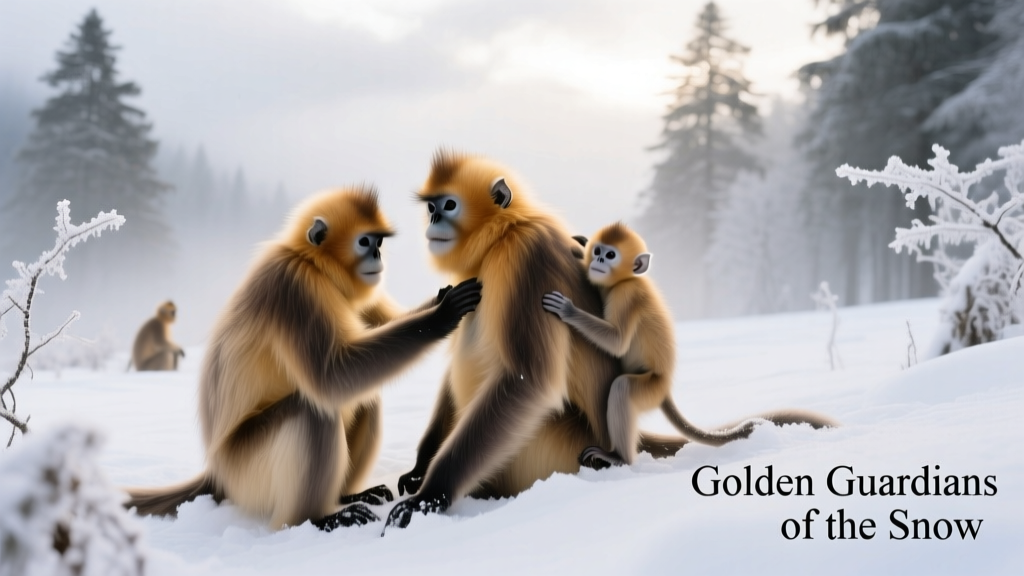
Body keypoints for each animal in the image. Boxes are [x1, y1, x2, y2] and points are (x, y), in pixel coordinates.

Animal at [124, 186, 482, 531]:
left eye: (379, 241)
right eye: (365, 241)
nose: (378, 255)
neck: (313, 265)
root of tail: (216, 474)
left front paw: (441, 296)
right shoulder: (294, 288)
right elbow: (331, 376)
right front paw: (441, 315)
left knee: (364, 396)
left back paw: (346, 495)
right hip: (245, 471)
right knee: (314, 410)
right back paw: (316, 517)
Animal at [383, 151, 689, 532]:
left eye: (449, 205)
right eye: (430, 207)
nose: (434, 220)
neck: (502, 235)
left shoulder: (526, 260)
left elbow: (527, 380)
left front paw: (430, 495)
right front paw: (419, 470)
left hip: (553, 445)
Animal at [542, 222, 837, 468]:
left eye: (611, 255)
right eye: (599, 250)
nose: (599, 259)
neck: (626, 280)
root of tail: (665, 386)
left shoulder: (627, 296)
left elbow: (616, 343)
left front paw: (568, 310)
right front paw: (581, 243)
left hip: (650, 386)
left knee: (622, 389)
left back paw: (620, 458)